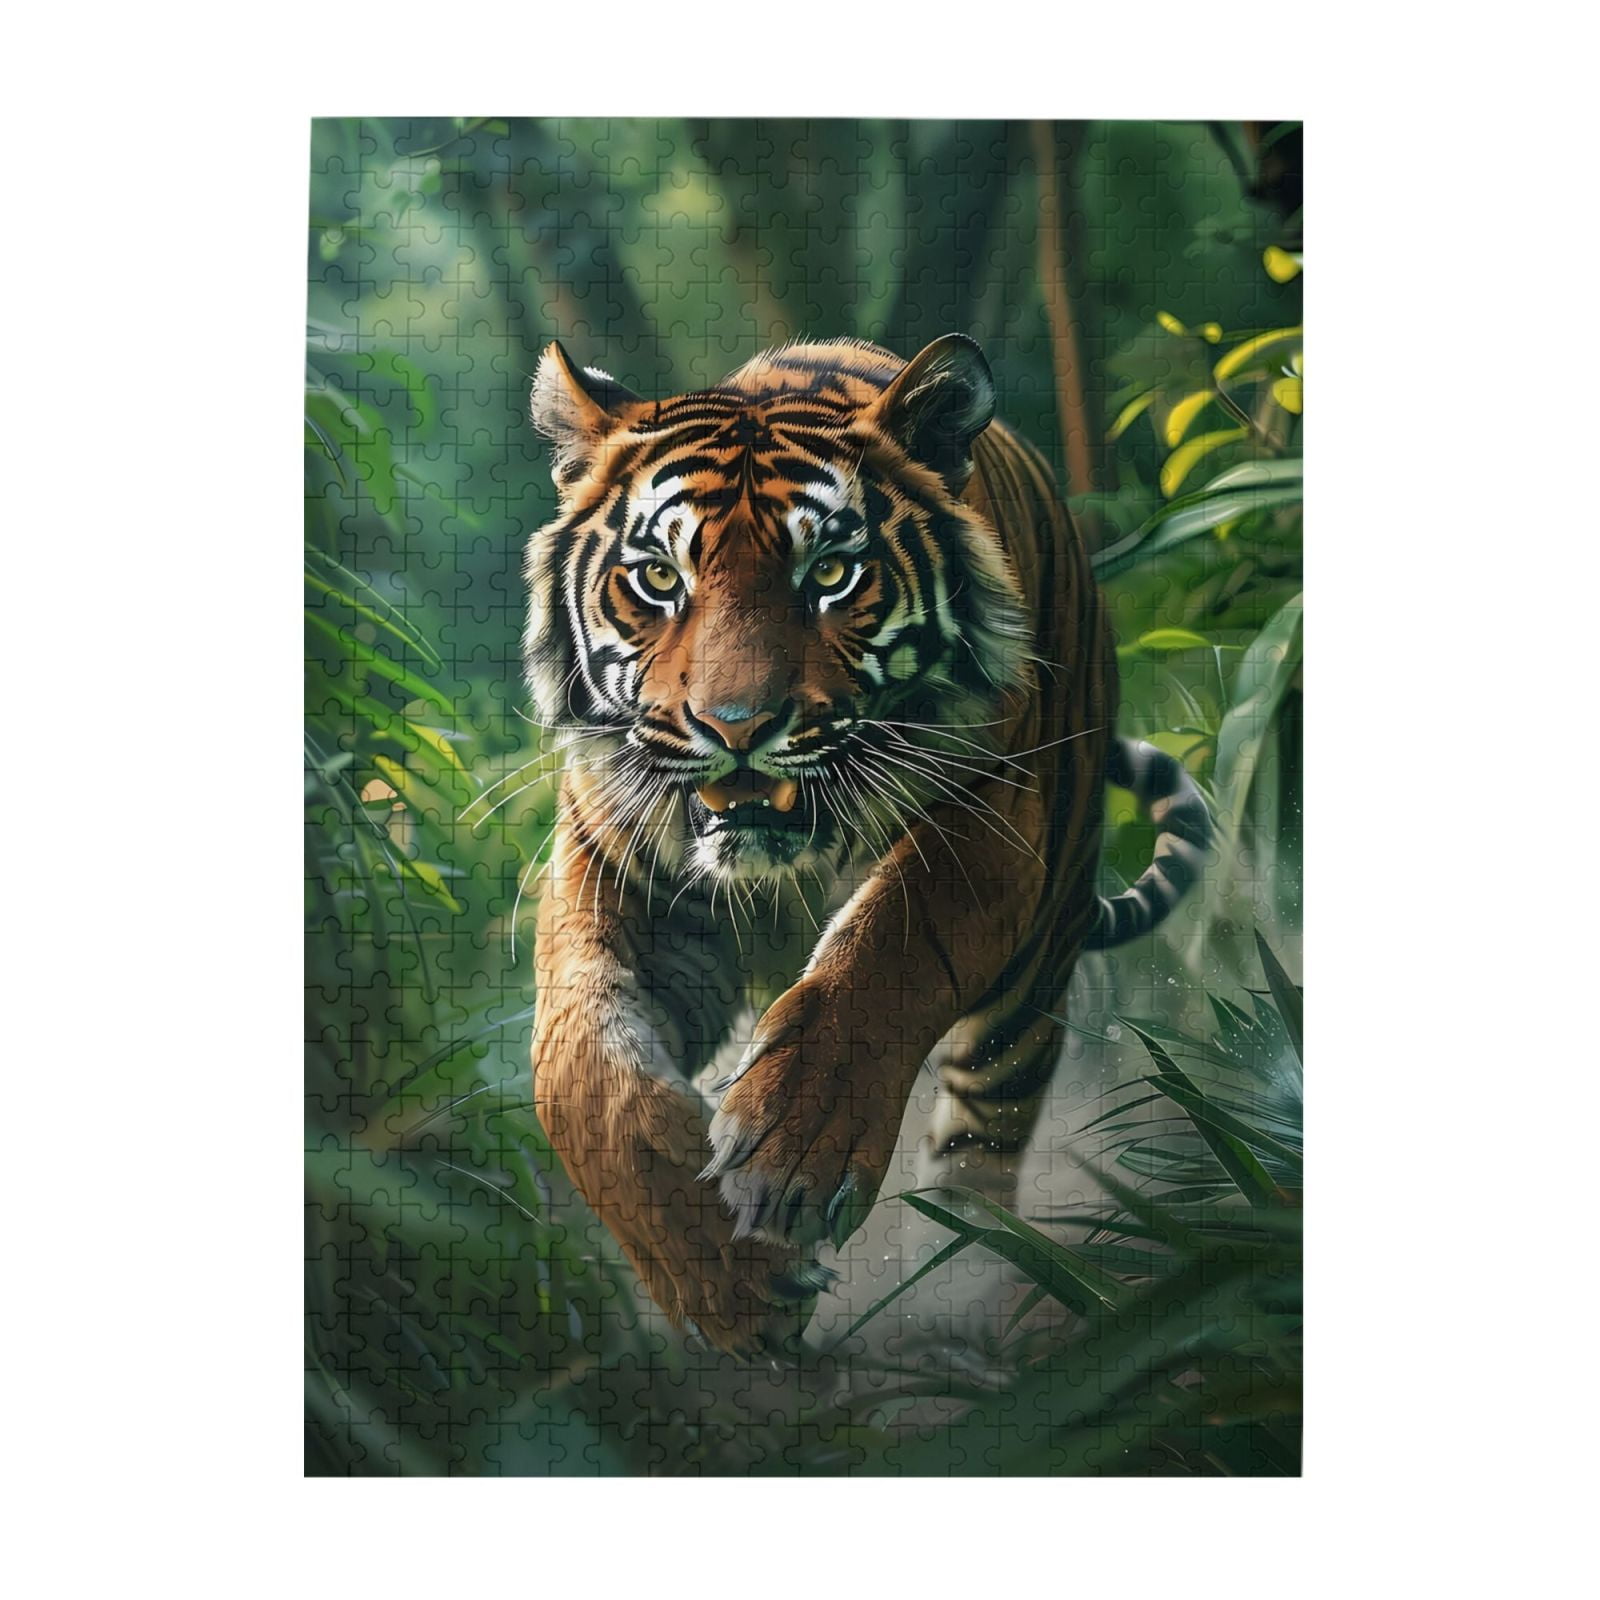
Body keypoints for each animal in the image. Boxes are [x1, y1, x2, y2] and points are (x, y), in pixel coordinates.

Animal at [523, 334, 1211, 1357]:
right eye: (660, 579)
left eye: (829, 576)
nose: (735, 727)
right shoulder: (620, 879)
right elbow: (578, 1071)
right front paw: (728, 1280)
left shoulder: (990, 835)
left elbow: (882, 951)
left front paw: (791, 1153)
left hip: (1027, 991)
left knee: (981, 1143)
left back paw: (967, 1293)